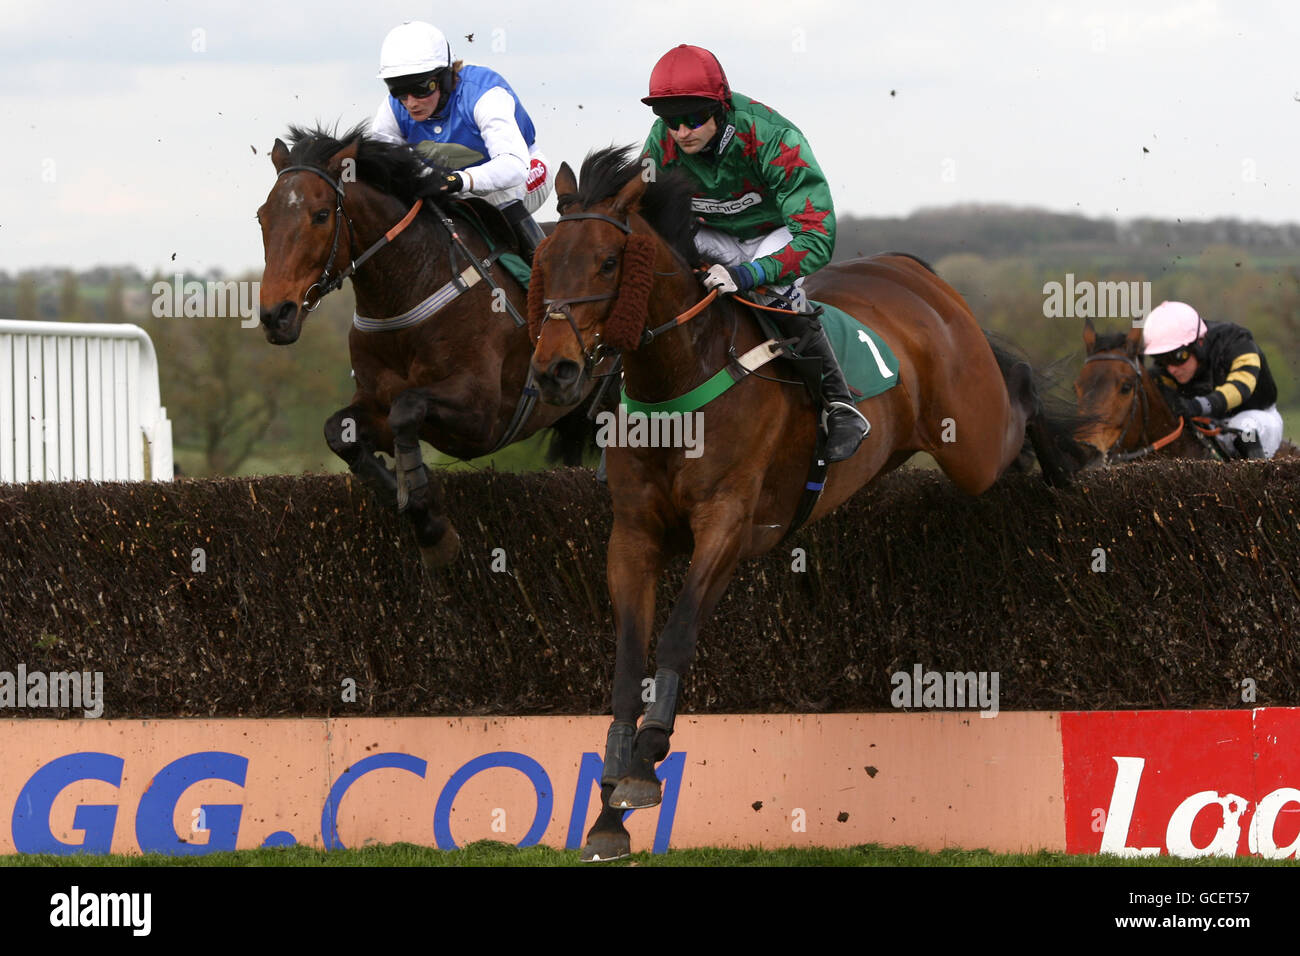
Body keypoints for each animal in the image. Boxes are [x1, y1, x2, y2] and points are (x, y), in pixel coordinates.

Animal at [257, 125, 601, 567]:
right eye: (262, 216)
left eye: (320, 215)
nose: (276, 315)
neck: (412, 286)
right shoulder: (375, 402)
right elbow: (339, 432)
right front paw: (403, 498)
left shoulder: (483, 415)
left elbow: (407, 409)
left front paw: (426, 517)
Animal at [526, 146, 1086, 861]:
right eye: (543, 261)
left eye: (606, 262)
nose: (555, 372)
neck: (679, 380)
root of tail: (912, 271)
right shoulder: (633, 535)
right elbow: (628, 659)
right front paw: (608, 809)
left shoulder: (728, 524)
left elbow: (677, 633)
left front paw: (648, 762)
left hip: (973, 440)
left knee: (1020, 396)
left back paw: (1063, 462)